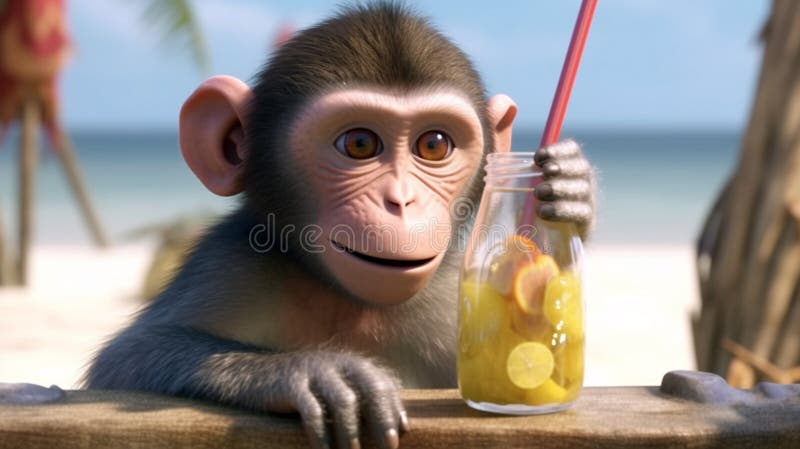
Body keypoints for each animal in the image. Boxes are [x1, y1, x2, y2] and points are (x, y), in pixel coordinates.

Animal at [84, 3, 595, 449]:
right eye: (360, 144)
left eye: (433, 145)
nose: (401, 201)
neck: (346, 301)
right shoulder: (230, 264)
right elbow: (126, 362)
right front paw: (312, 372)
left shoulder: (446, 304)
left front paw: (572, 191)